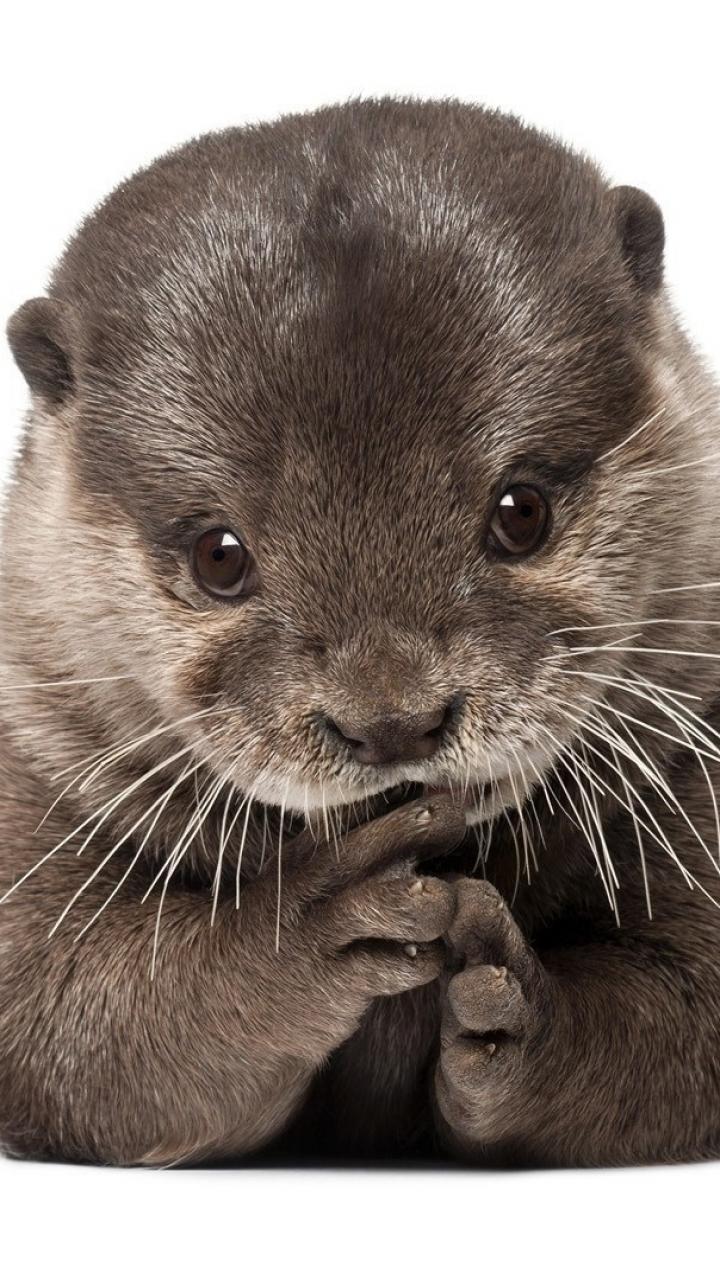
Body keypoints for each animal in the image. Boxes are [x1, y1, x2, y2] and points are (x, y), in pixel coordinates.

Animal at [2, 96, 720, 1168]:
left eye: (522, 510)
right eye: (220, 555)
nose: (392, 722)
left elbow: (689, 1010)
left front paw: (518, 1016)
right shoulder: (32, 756)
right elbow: (61, 1014)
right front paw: (307, 929)